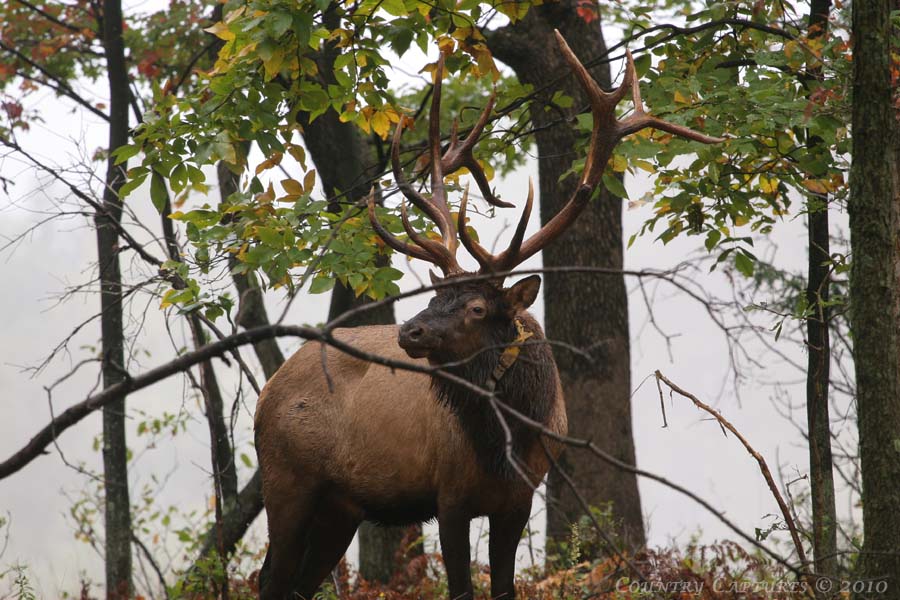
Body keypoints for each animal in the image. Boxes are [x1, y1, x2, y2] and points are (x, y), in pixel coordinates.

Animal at [254, 31, 723, 600]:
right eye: (437, 296)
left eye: (477, 307)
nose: (410, 331)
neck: (507, 444)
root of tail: (267, 391)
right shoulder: (449, 497)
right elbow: (461, 587)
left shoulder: (520, 499)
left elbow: (504, 586)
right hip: (286, 479)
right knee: (271, 578)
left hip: (339, 507)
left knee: (296, 582)